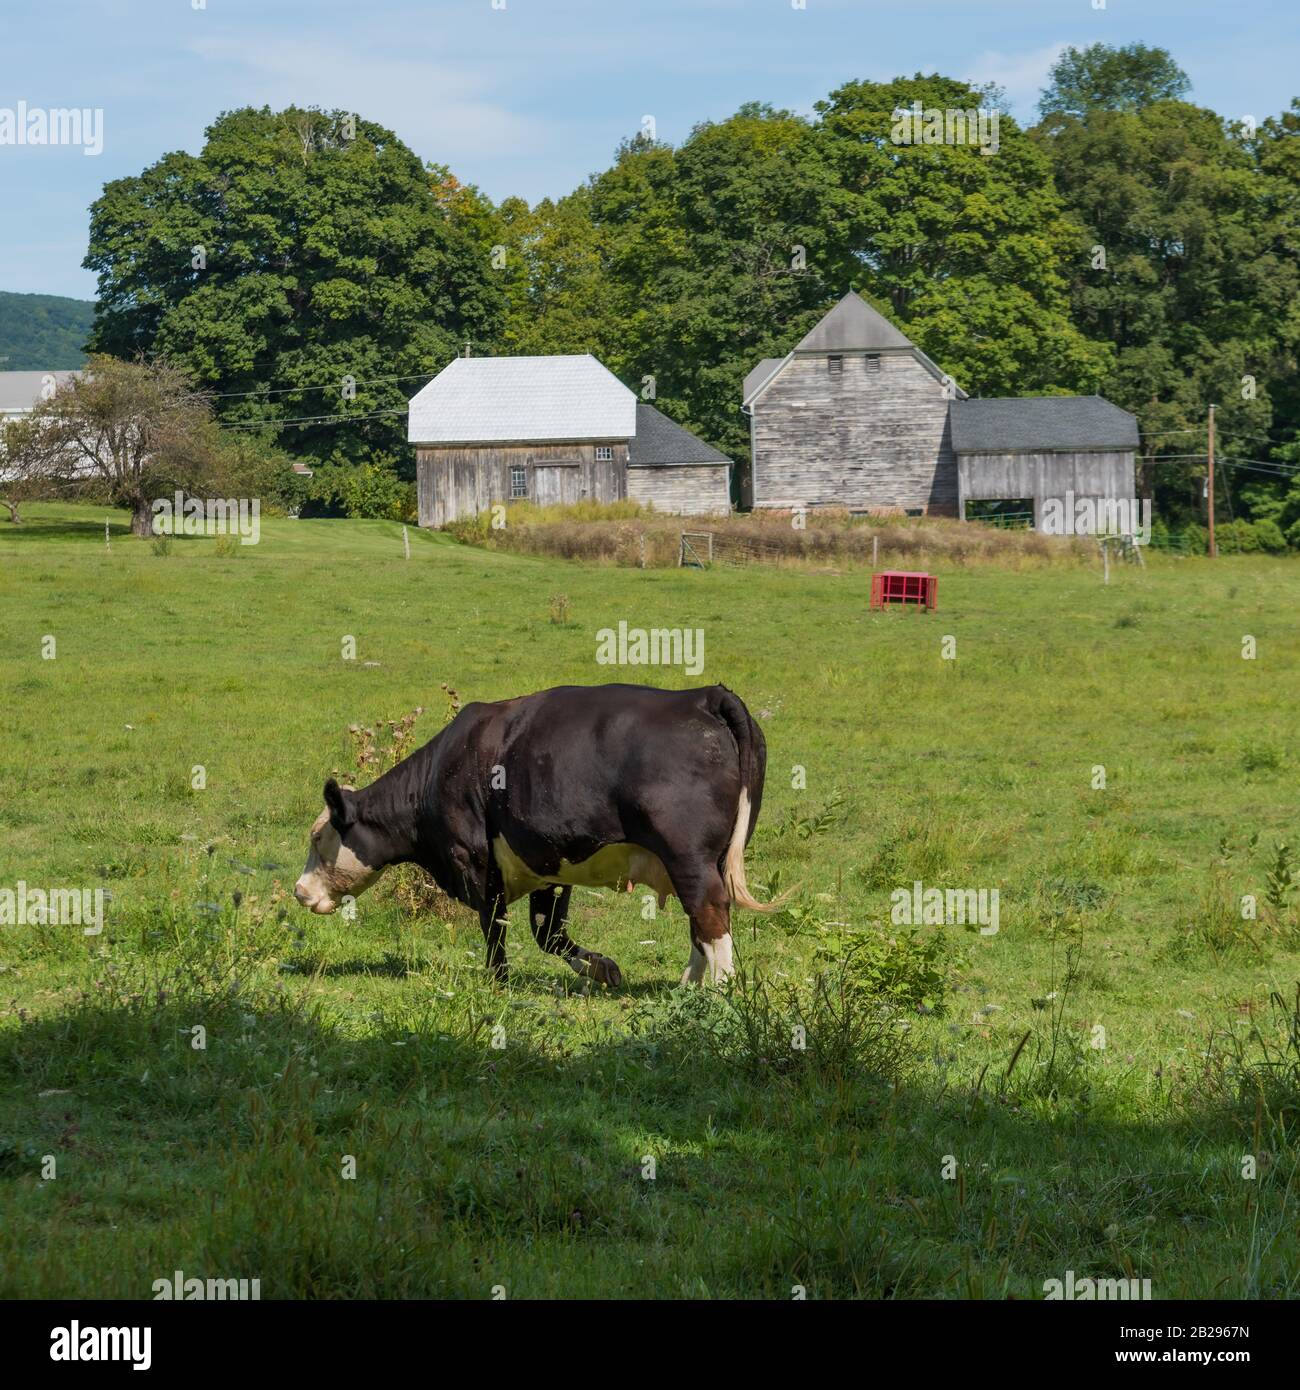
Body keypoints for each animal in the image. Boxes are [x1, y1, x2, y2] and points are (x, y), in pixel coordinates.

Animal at [293, 683, 774, 986]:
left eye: (317, 839)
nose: (298, 891)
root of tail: (704, 696)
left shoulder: (475, 861)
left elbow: (494, 925)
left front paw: (498, 981)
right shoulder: (547, 861)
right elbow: (549, 934)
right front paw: (601, 968)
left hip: (687, 856)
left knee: (709, 911)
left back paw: (718, 990)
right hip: (709, 858)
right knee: (700, 922)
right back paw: (689, 983)